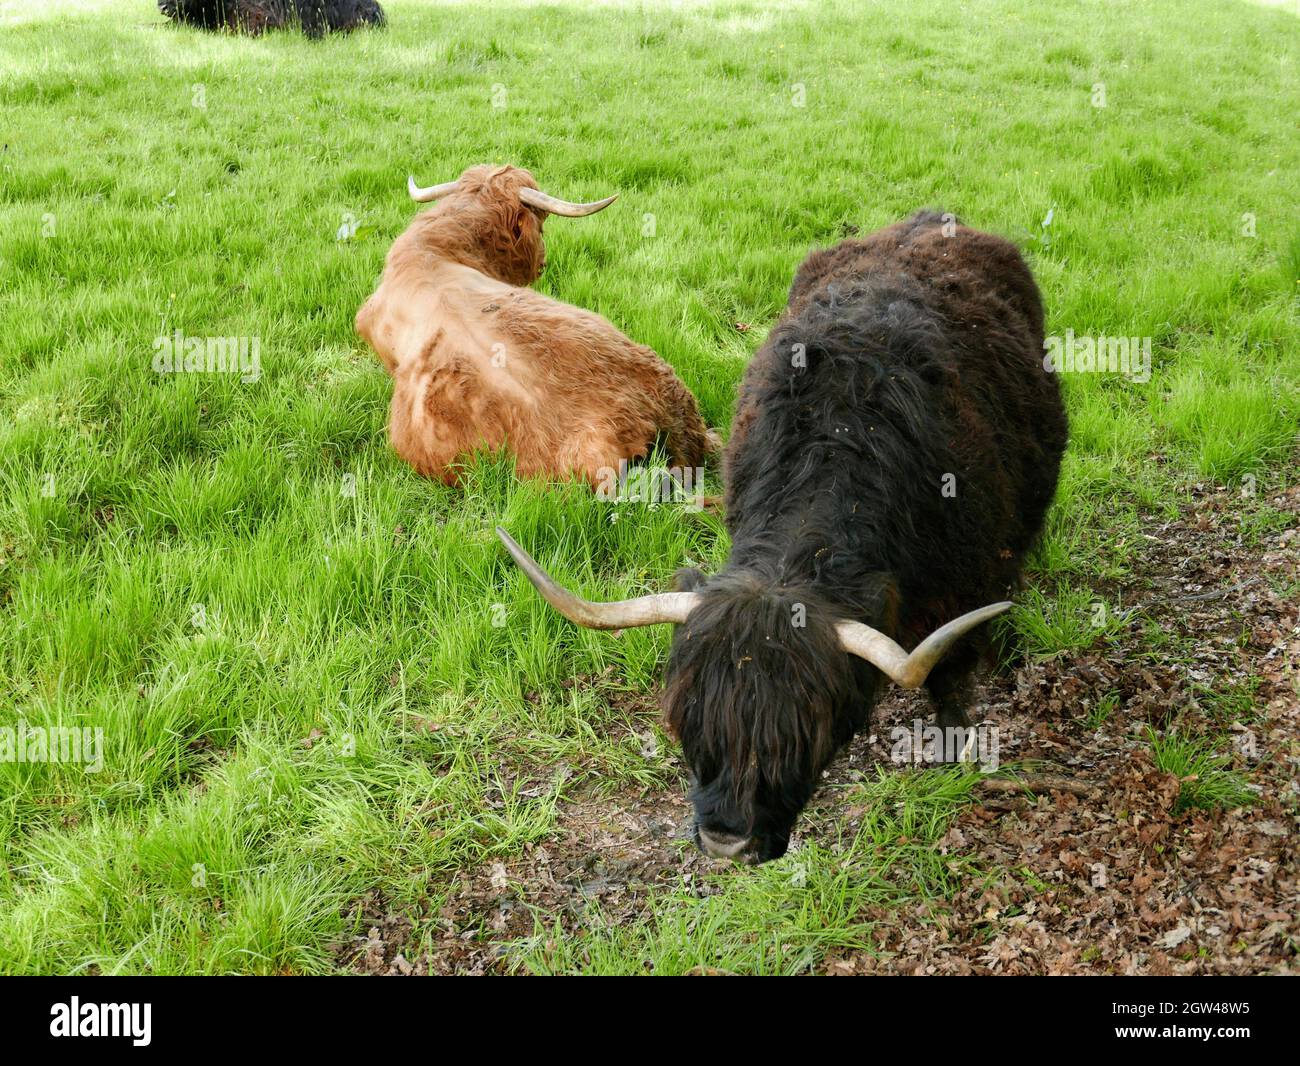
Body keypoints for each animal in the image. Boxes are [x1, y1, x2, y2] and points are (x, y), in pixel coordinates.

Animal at [499, 210, 1068, 863]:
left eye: (800, 733)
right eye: (687, 719)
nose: (726, 840)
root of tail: (933, 219)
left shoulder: (969, 587)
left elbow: (950, 677)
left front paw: (954, 750)